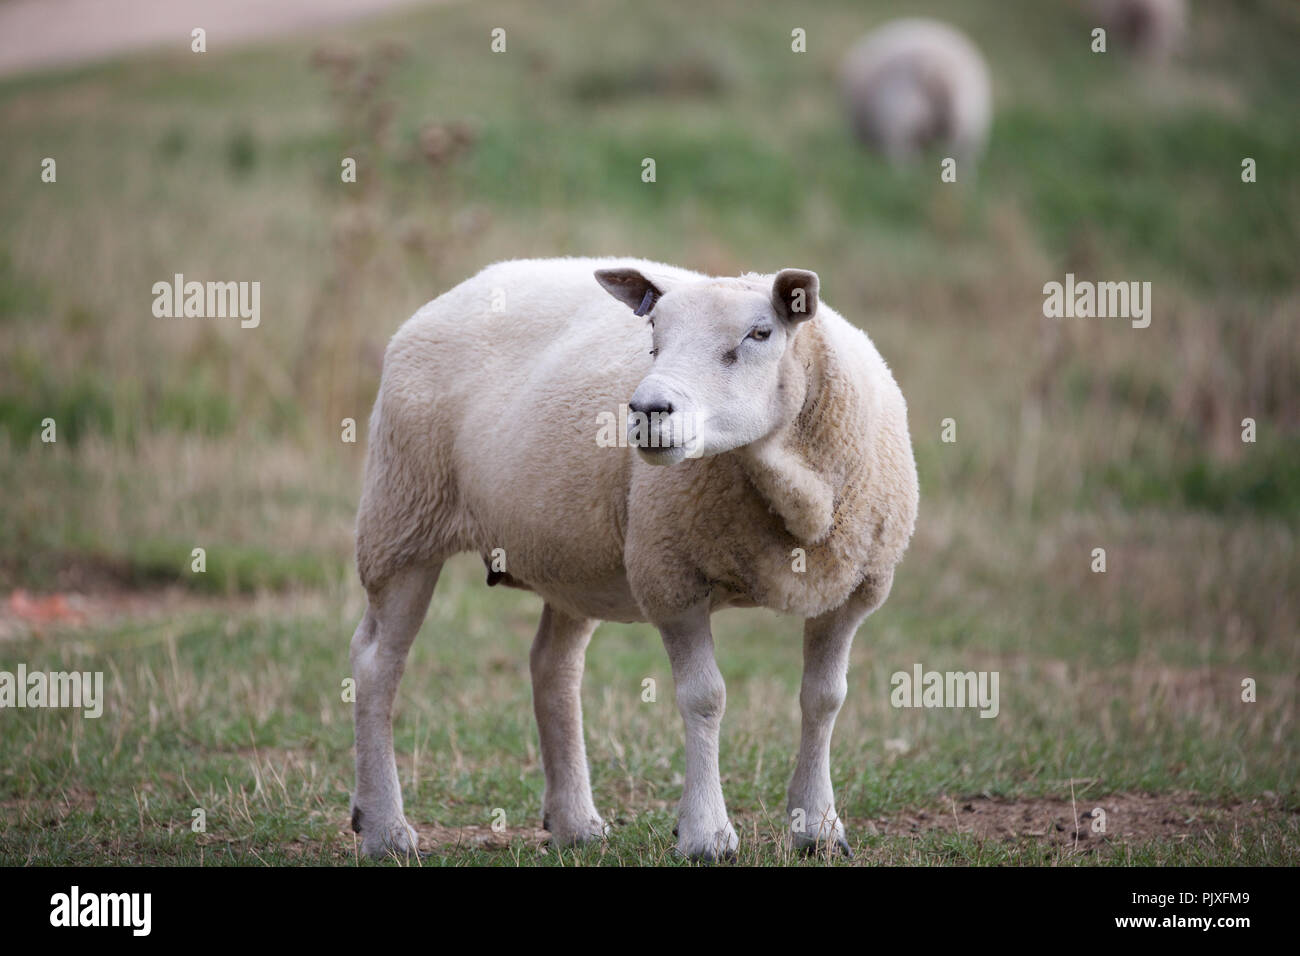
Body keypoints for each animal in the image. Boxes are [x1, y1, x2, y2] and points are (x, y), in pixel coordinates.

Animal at [348, 257, 919, 860]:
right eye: (654, 337)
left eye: (760, 334)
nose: (648, 410)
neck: (797, 499)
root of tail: (466, 286)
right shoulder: (671, 578)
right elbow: (704, 698)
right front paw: (707, 835)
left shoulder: (855, 590)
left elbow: (824, 699)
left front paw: (820, 828)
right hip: (402, 518)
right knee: (377, 663)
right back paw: (385, 829)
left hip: (569, 553)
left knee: (553, 665)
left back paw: (575, 823)